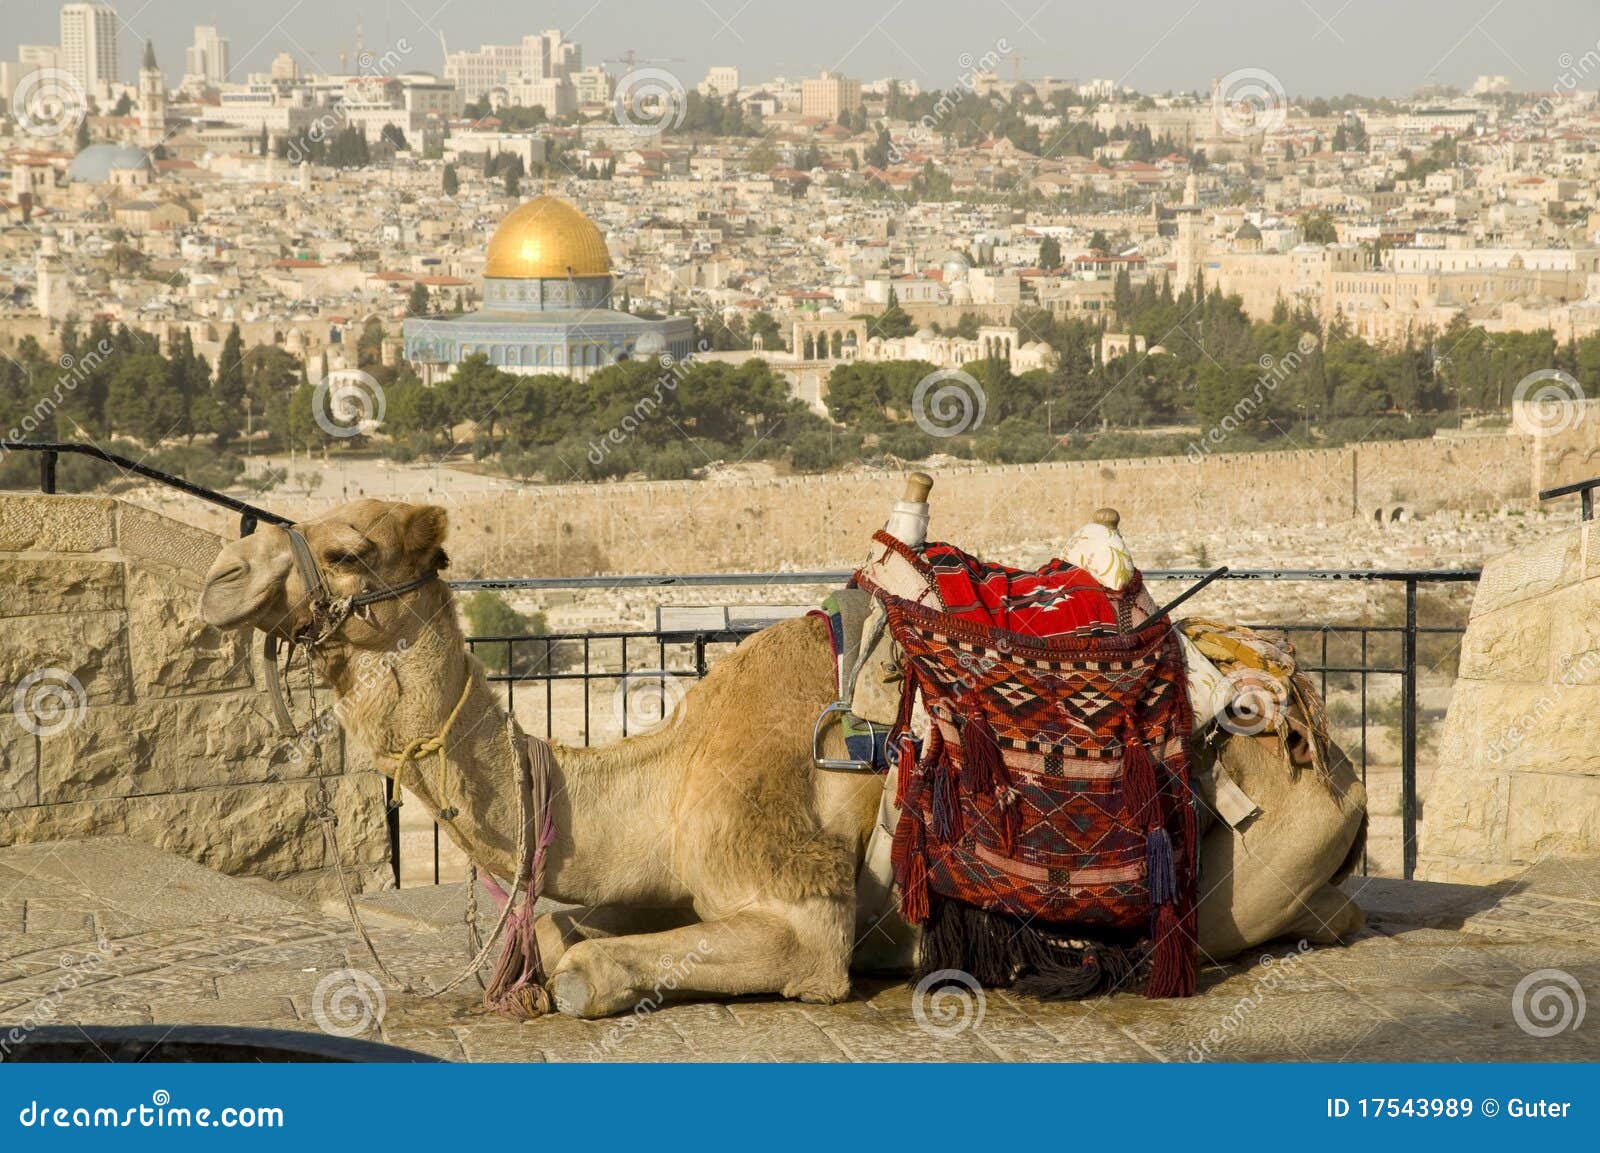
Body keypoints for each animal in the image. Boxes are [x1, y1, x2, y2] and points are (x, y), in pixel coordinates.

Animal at [199, 497, 1366, 1019]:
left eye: (348, 547)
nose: (219, 573)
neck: (659, 777)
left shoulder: (793, 912)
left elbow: (593, 966)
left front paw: (572, 980)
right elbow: (572, 924)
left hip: (1245, 877)